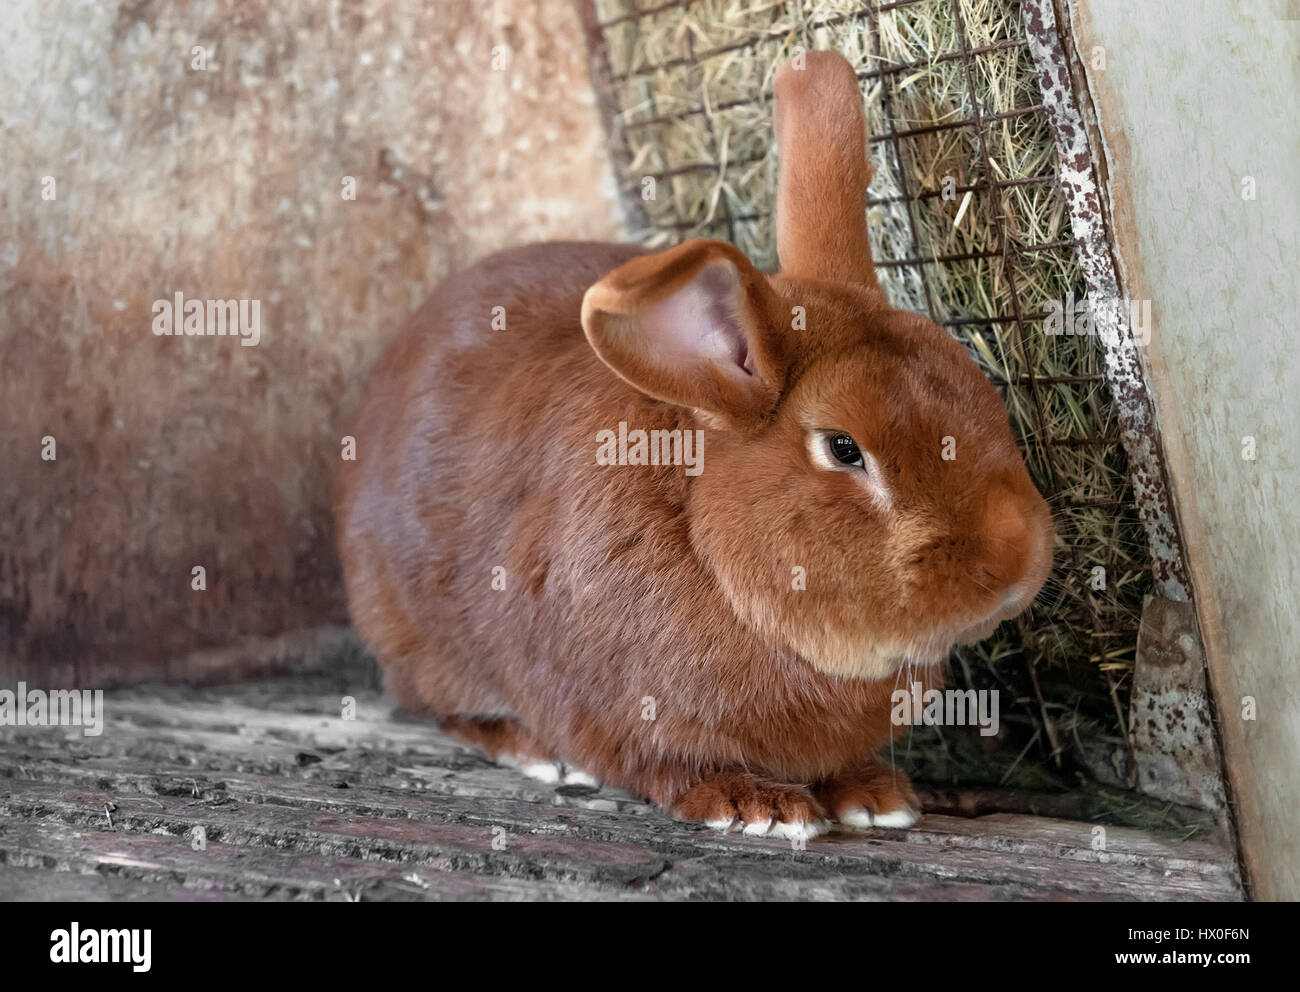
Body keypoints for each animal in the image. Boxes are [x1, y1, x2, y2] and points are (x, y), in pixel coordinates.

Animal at [334, 51, 1053, 840]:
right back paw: (533, 754)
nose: (1019, 562)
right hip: (424, 643)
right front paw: (757, 808)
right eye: (843, 448)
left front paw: (874, 797)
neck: (708, 546)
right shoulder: (618, 712)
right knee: (439, 707)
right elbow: (666, 768)